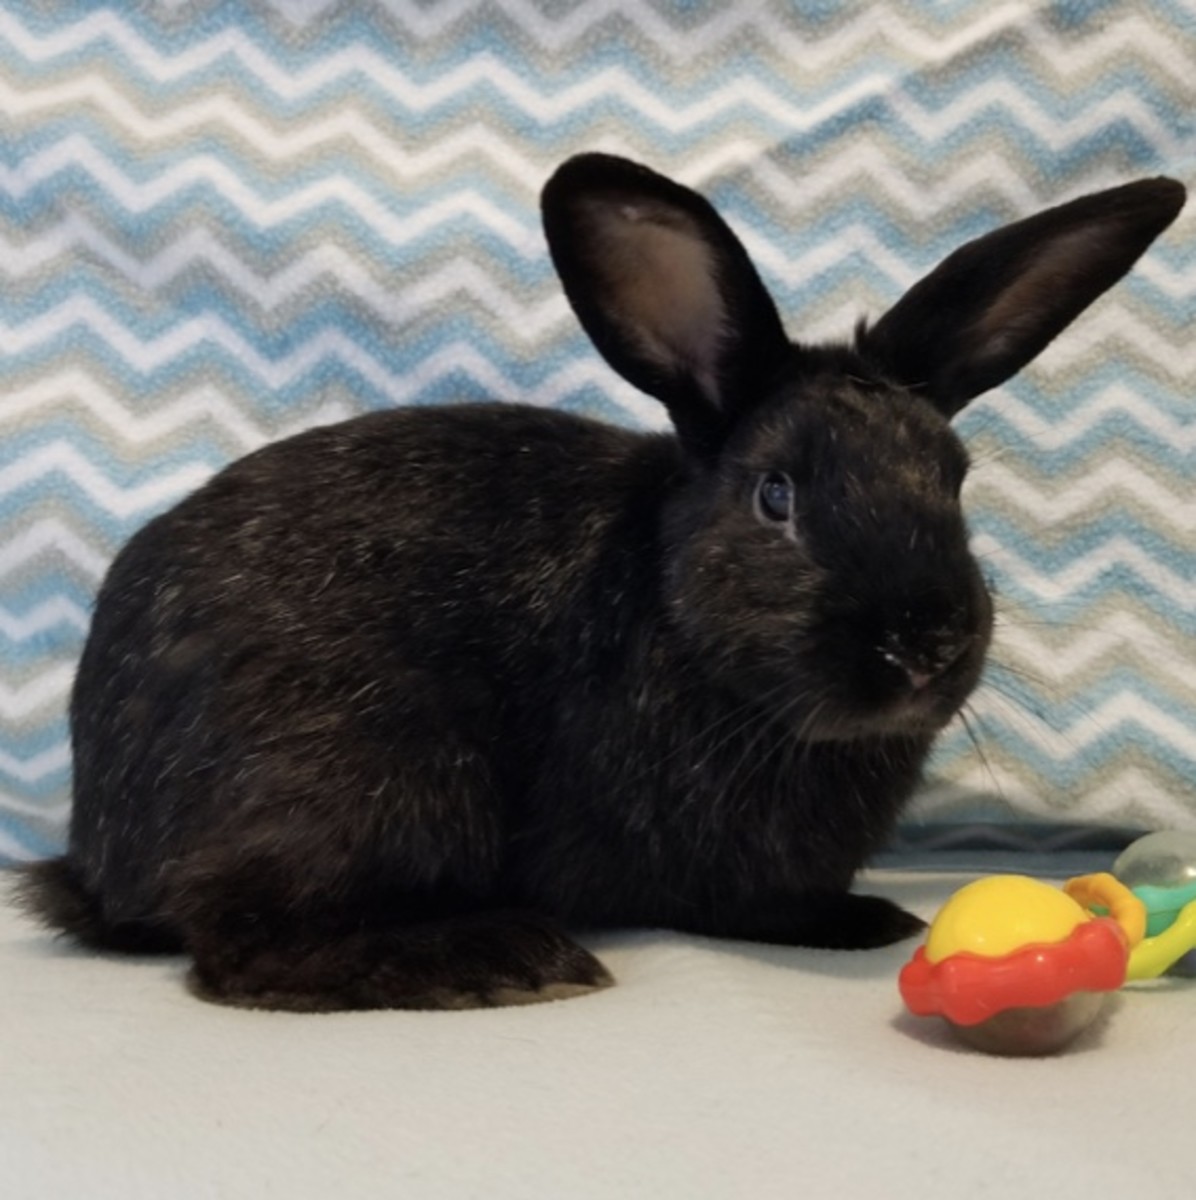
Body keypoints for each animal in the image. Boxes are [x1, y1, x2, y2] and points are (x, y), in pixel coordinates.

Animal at [16, 153, 1185, 1011]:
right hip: (360, 776)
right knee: (236, 947)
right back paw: (498, 961)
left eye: (955, 481)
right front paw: (861, 920)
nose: (923, 646)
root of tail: (99, 849)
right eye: (775, 496)